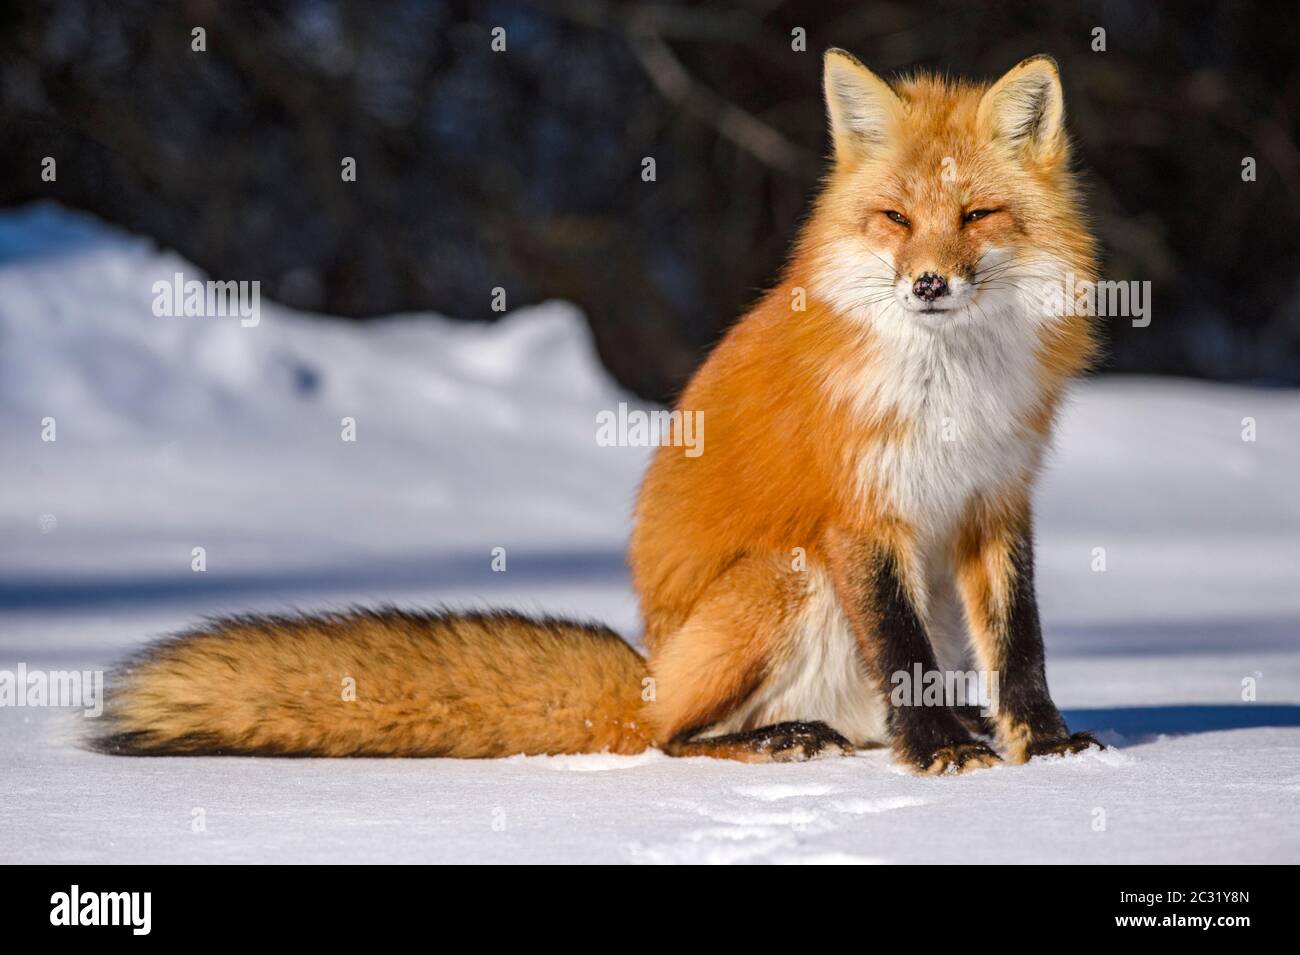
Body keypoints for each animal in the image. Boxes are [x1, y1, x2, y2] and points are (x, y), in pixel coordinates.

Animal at [94, 51, 1102, 775]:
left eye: (976, 214)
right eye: (895, 218)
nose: (928, 283)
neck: (951, 390)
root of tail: (645, 669)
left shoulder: (994, 500)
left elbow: (1022, 643)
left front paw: (1044, 745)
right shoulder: (859, 514)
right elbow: (903, 652)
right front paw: (938, 755)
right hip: (781, 581)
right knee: (669, 735)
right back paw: (779, 739)